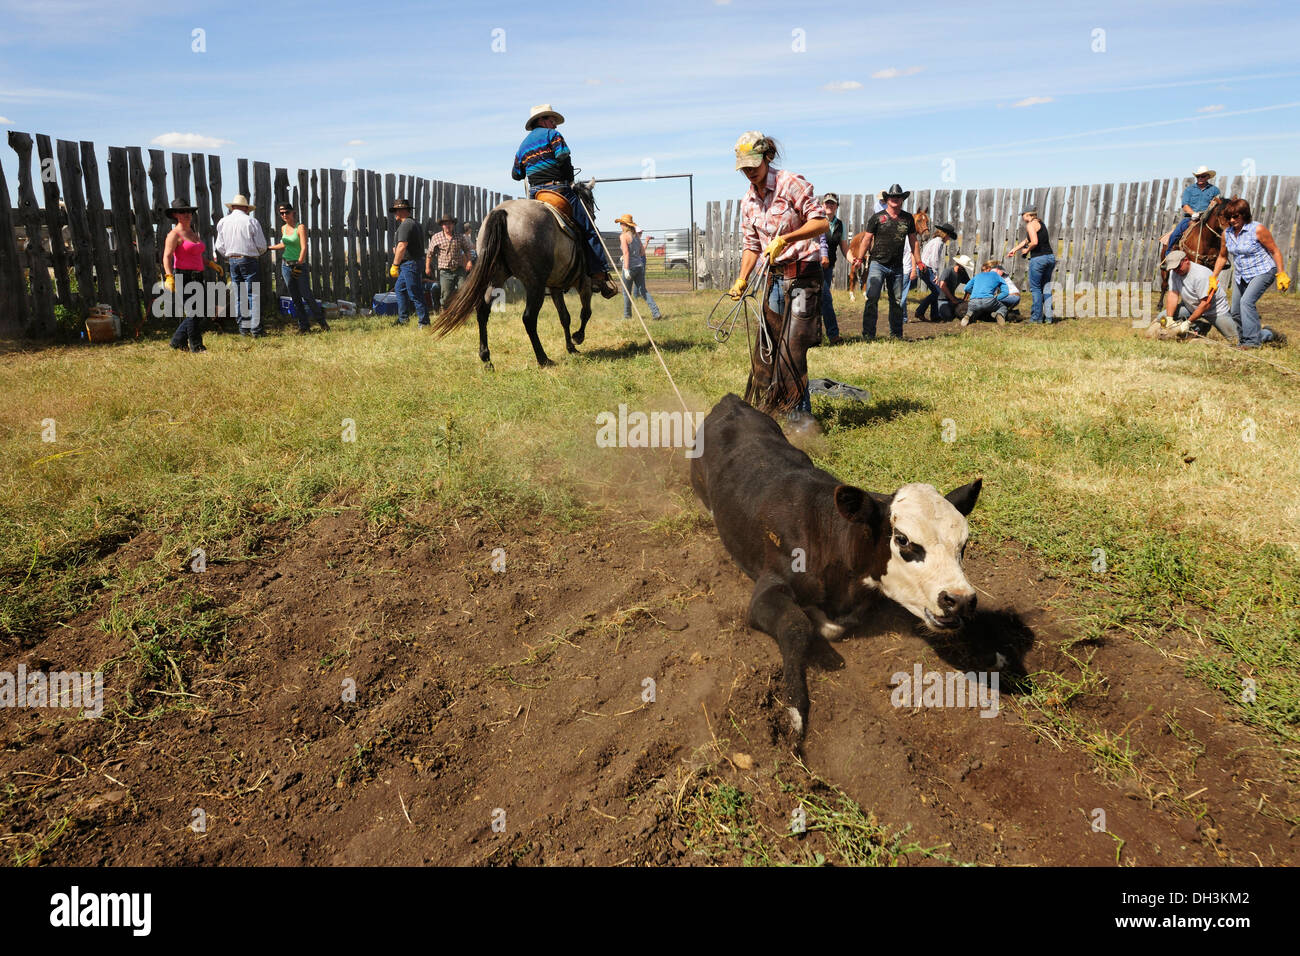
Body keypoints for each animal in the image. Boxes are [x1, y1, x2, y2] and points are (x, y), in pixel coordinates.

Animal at [690, 393, 982, 739]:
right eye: (903, 539)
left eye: (963, 544)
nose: (960, 599)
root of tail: (731, 401)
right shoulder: (768, 587)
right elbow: (796, 625)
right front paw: (794, 711)